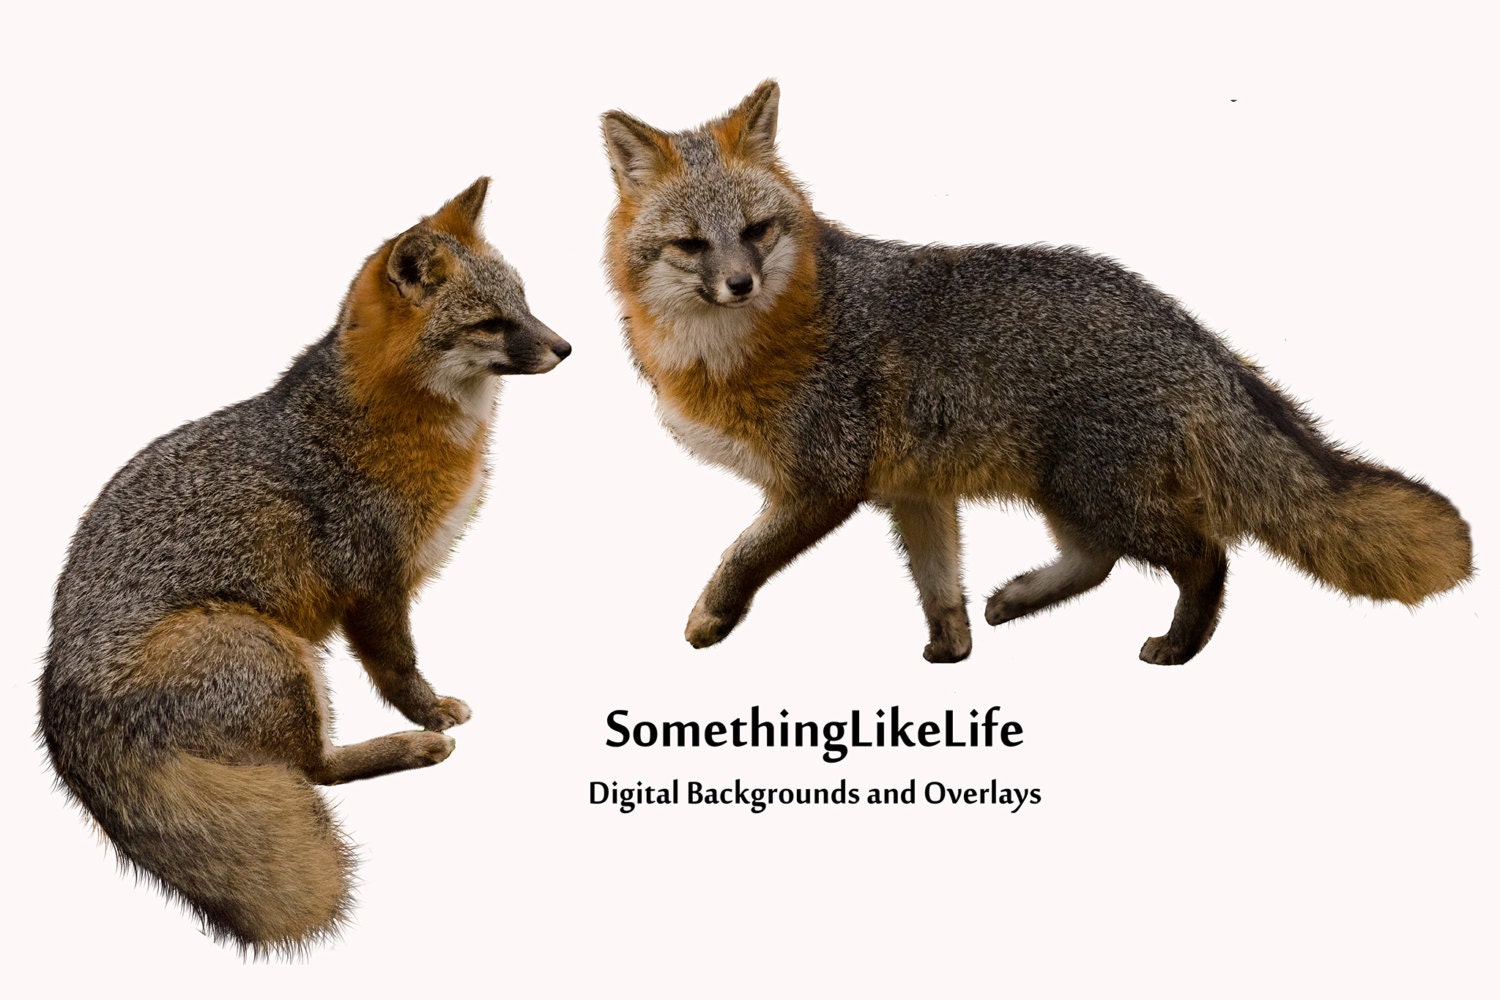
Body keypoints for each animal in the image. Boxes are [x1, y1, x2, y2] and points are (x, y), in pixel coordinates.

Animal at [39, 178, 570, 954]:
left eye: (526, 303)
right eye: (492, 324)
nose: (566, 346)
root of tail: (59, 714)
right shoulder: (374, 583)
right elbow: (398, 666)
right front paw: (428, 710)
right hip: (278, 652)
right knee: (312, 771)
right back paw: (410, 748)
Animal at [601, 81, 1472, 666]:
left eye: (756, 231)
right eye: (691, 245)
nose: (740, 283)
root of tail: (1191, 332)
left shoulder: (824, 481)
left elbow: (741, 554)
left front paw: (710, 619)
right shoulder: (916, 490)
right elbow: (940, 582)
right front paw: (951, 649)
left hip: (1098, 493)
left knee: (1206, 554)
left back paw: (1179, 647)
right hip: (1067, 492)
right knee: (1098, 561)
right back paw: (1021, 599)